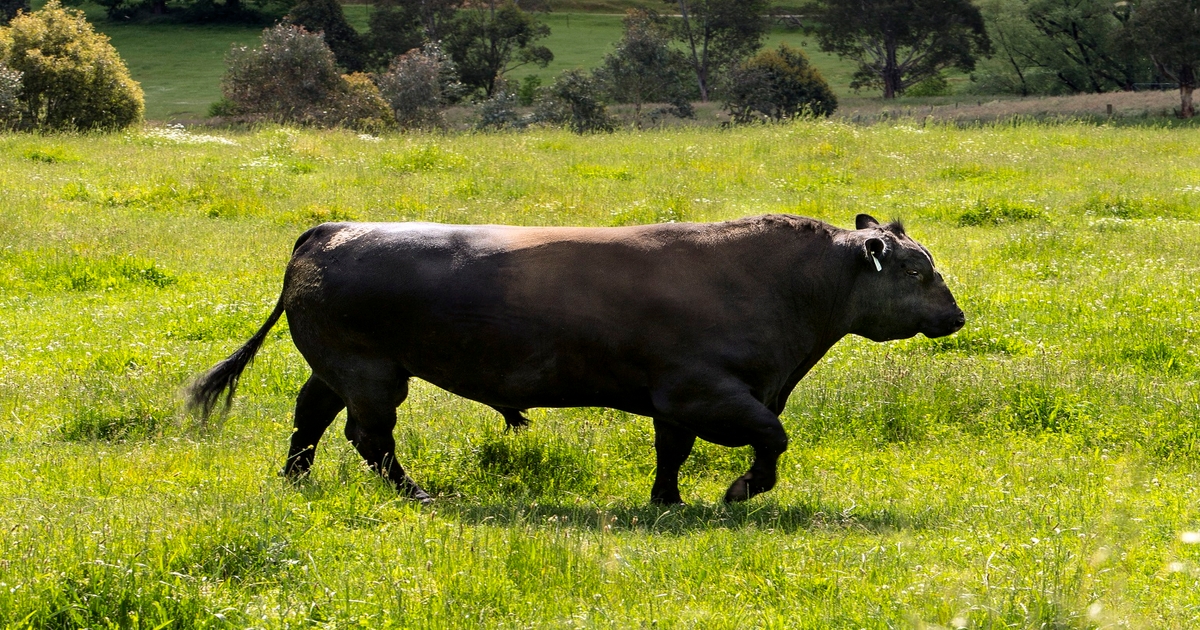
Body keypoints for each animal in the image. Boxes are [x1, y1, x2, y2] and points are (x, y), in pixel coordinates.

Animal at [187, 213, 964, 505]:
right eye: (918, 271)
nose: (956, 315)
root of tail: (333, 229)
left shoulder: (675, 401)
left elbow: (672, 453)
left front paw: (666, 502)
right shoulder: (704, 392)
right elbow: (771, 438)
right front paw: (740, 490)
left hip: (340, 370)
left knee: (310, 418)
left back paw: (295, 480)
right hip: (372, 375)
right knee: (369, 436)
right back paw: (417, 493)